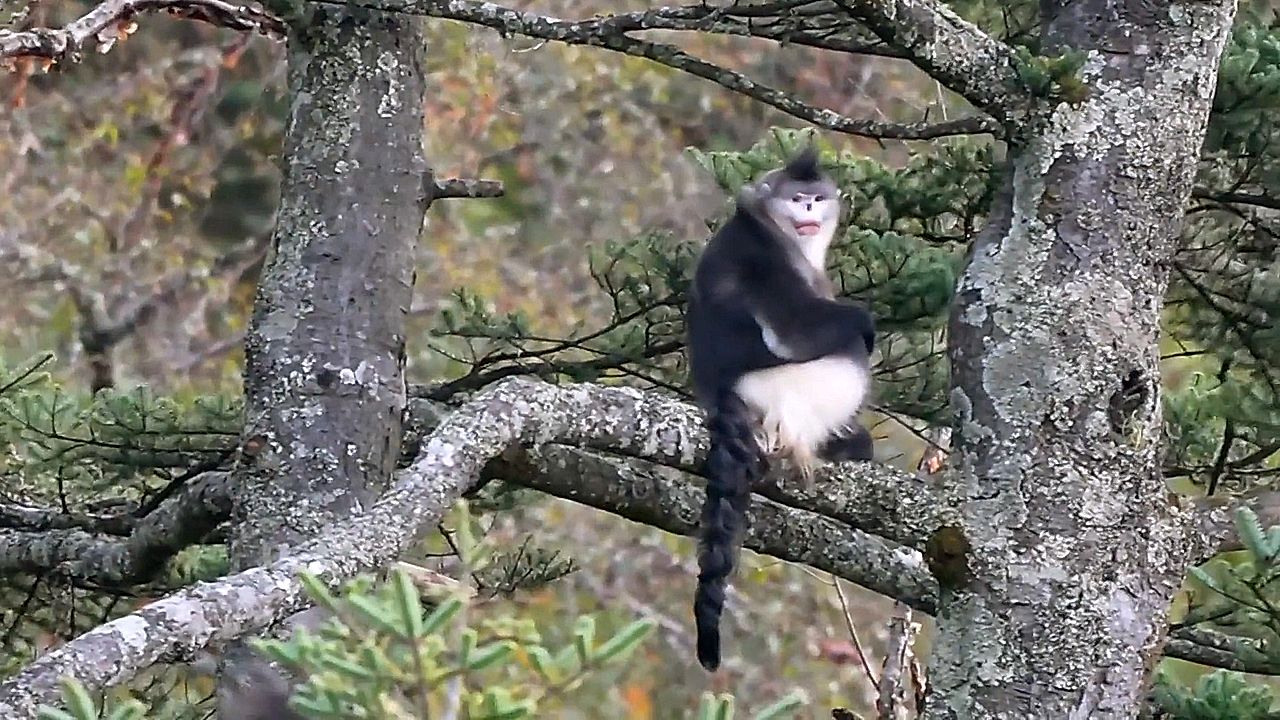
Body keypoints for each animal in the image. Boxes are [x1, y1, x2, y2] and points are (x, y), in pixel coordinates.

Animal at [684, 144, 876, 672]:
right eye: (796, 198)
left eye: (816, 197)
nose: (808, 207)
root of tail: (724, 392)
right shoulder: (763, 259)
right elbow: (794, 330)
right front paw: (867, 320)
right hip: (792, 390)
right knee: (845, 347)